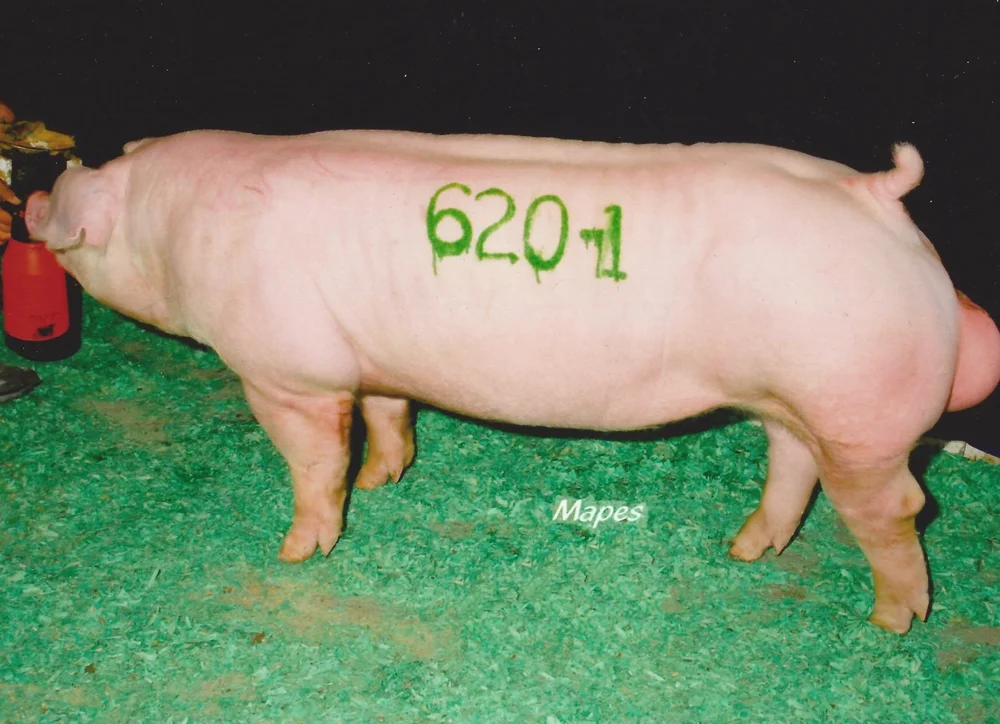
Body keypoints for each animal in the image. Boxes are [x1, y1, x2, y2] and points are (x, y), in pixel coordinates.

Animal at [24, 128, 1000, 634]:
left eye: (78, 213)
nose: (31, 196)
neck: (175, 231)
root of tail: (880, 200)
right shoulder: (372, 361)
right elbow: (388, 415)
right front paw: (384, 480)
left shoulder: (286, 370)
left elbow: (312, 462)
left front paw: (299, 551)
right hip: (798, 403)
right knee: (793, 468)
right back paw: (743, 552)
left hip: (857, 407)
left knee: (898, 508)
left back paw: (892, 622)